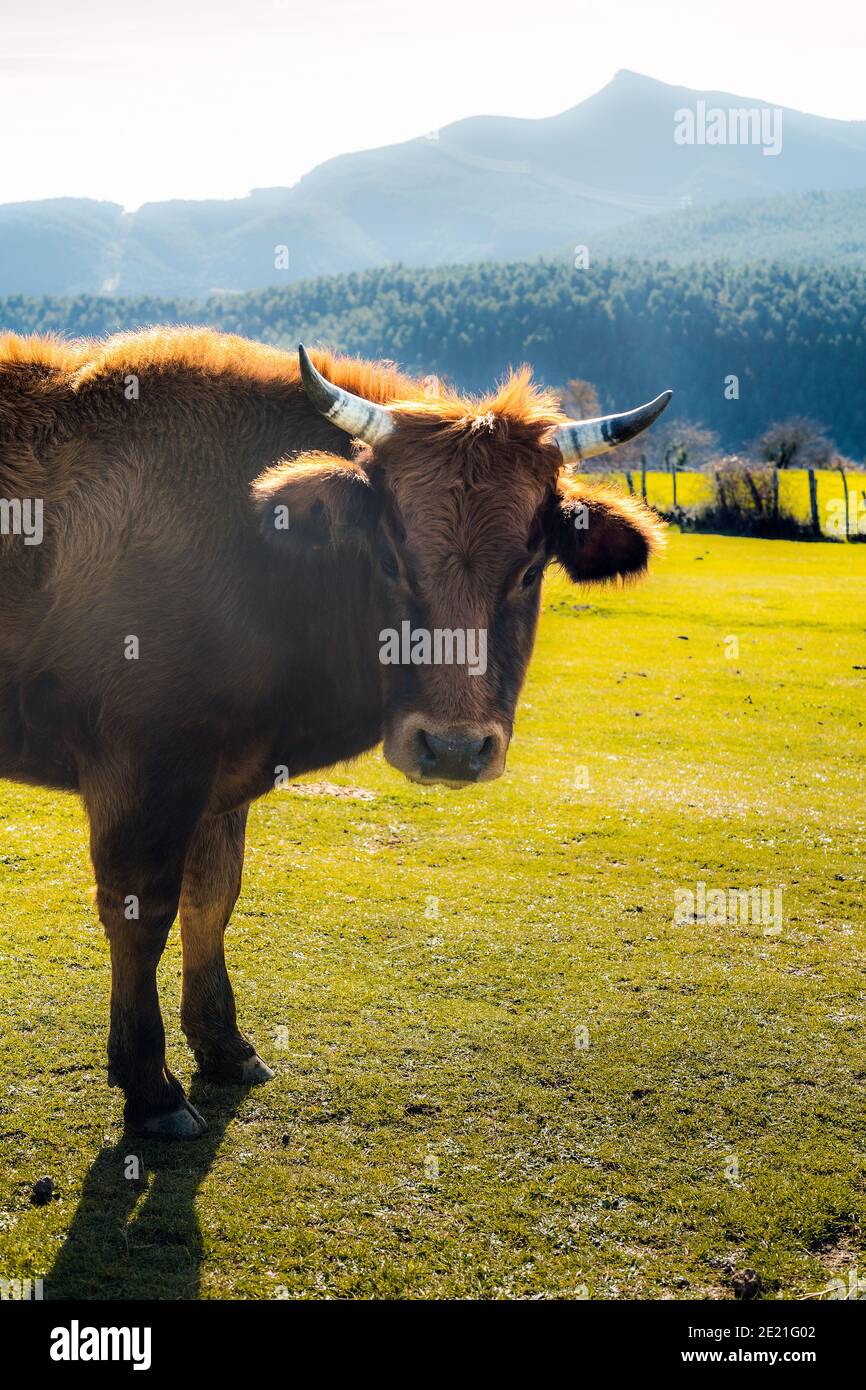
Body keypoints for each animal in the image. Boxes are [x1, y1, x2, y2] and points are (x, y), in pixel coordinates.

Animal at [0, 327, 670, 1137]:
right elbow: (142, 913)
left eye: (531, 569)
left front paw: (224, 1046)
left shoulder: (220, 783)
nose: (453, 747)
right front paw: (150, 1087)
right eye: (390, 557)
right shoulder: (142, 770)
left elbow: (212, 898)